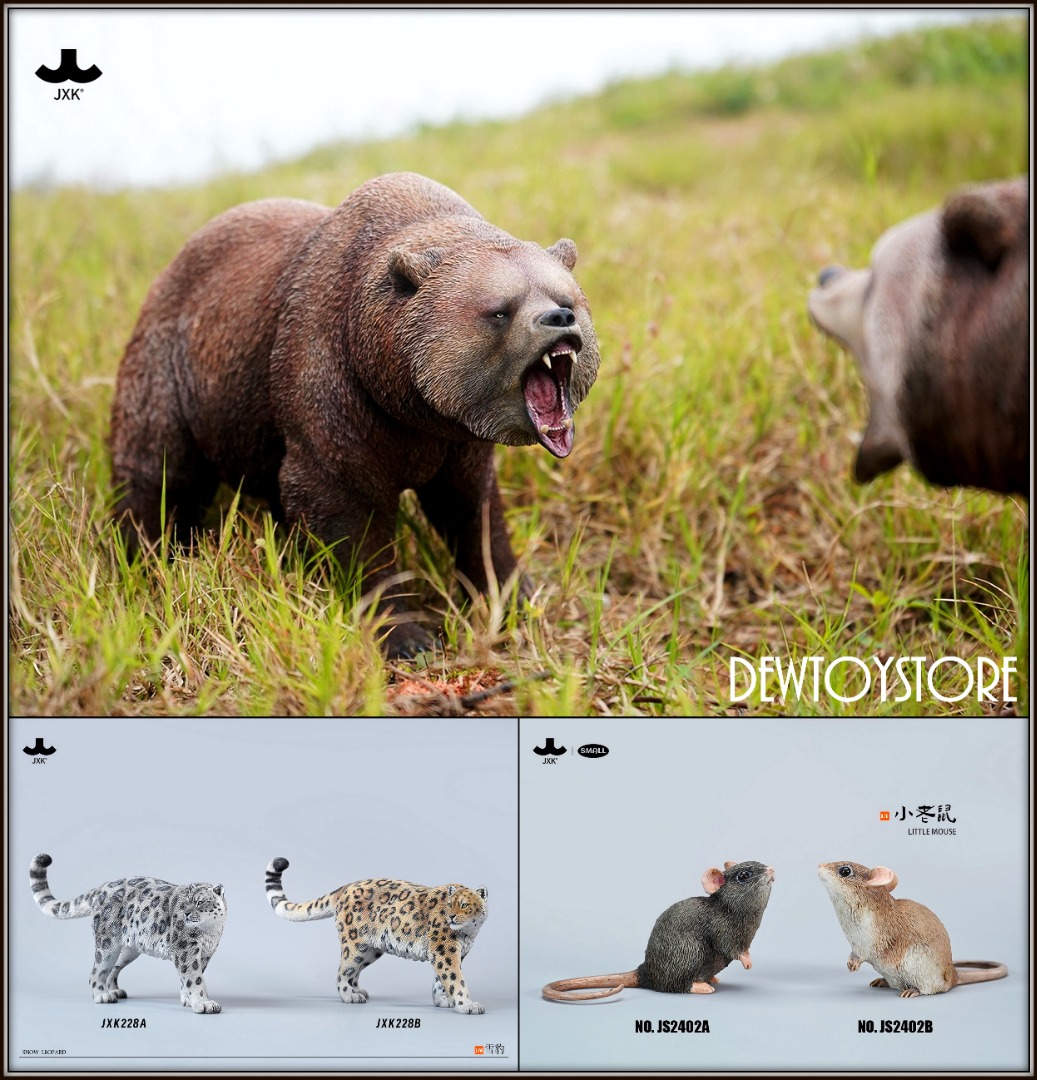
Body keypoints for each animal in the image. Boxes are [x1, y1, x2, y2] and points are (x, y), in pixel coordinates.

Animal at [109, 172, 600, 657]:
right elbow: (347, 514)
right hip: (174, 369)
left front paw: (516, 600)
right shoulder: (335, 393)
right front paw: (407, 636)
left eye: (566, 298)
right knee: (156, 466)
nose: (559, 319)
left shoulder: (458, 440)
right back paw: (142, 554)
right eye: (500, 310)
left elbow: (473, 512)